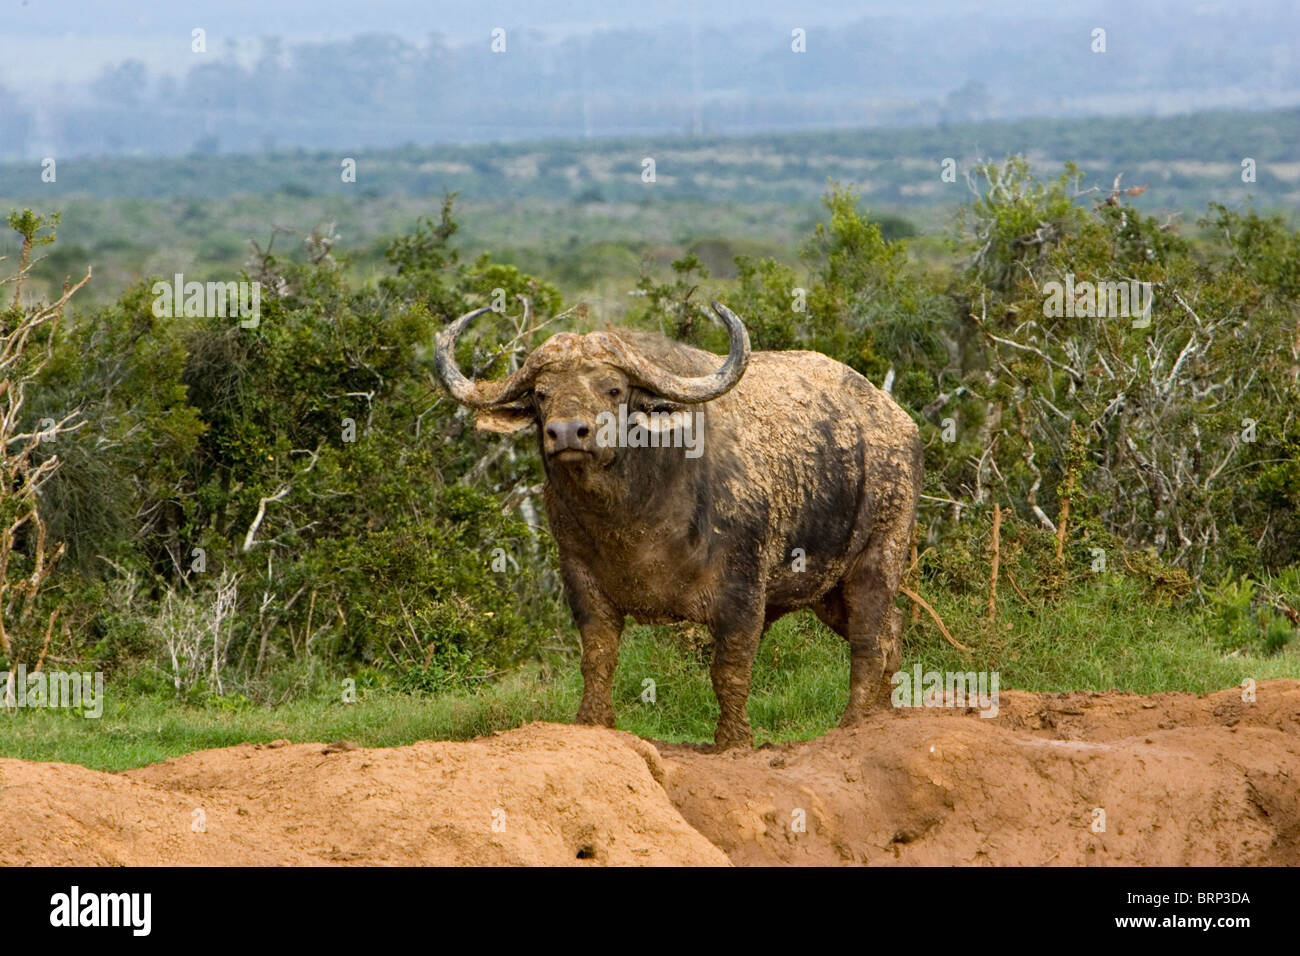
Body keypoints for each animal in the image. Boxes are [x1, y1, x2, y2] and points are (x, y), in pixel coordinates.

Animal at [434, 302, 922, 750]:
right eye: (540, 392)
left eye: (614, 389)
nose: (568, 433)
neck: (637, 517)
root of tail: (898, 422)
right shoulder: (580, 578)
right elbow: (597, 657)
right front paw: (592, 722)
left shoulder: (744, 594)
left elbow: (729, 671)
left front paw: (732, 740)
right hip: (826, 590)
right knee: (891, 629)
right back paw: (883, 713)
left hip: (878, 555)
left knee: (867, 640)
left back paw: (855, 723)